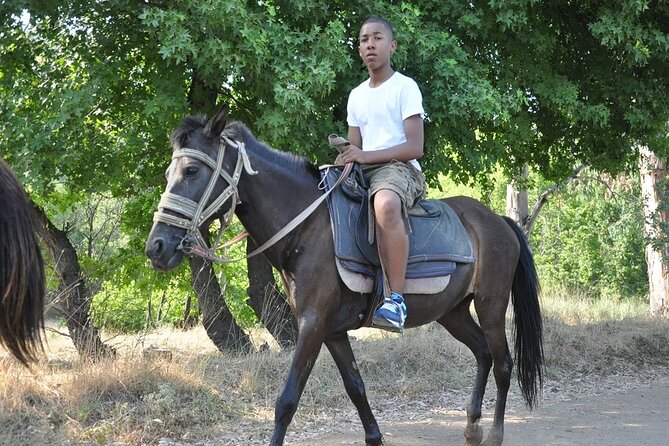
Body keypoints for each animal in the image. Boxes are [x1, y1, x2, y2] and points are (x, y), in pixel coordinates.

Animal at [145, 106, 544, 446]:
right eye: (168, 174)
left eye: (192, 171)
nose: (157, 247)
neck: (307, 228)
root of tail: (497, 221)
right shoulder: (332, 331)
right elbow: (356, 388)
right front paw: (375, 438)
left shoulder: (312, 324)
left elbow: (287, 399)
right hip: (453, 311)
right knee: (483, 354)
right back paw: (472, 427)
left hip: (491, 303)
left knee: (503, 363)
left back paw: (494, 434)